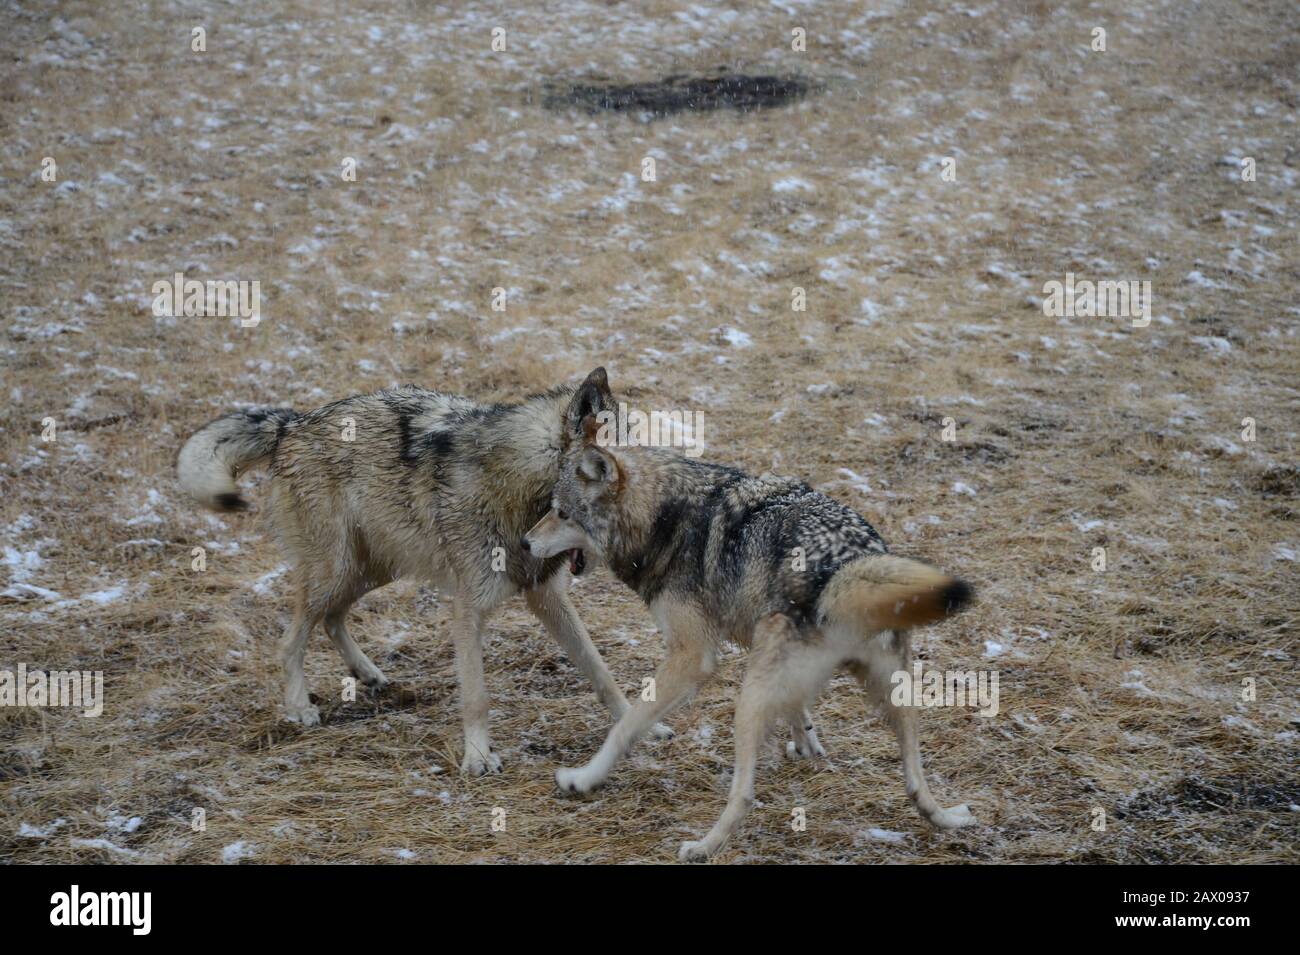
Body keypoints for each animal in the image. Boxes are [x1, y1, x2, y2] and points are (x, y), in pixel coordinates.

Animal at [178, 369, 658, 775]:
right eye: (613, 471)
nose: (654, 517)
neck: (520, 488)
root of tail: (291, 424)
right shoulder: (468, 609)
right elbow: (477, 696)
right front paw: (478, 757)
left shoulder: (546, 596)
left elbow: (600, 671)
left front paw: (643, 728)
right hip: (336, 570)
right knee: (290, 640)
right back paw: (299, 707)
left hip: (375, 569)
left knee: (332, 618)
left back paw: (368, 674)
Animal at [524, 417, 976, 859]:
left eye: (561, 513)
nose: (525, 543)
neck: (664, 516)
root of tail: (843, 568)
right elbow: (797, 706)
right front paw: (806, 741)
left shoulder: (691, 657)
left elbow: (624, 728)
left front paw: (583, 778)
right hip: (893, 695)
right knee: (916, 782)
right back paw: (953, 818)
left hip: (748, 700)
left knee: (743, 795)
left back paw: (702, 846)